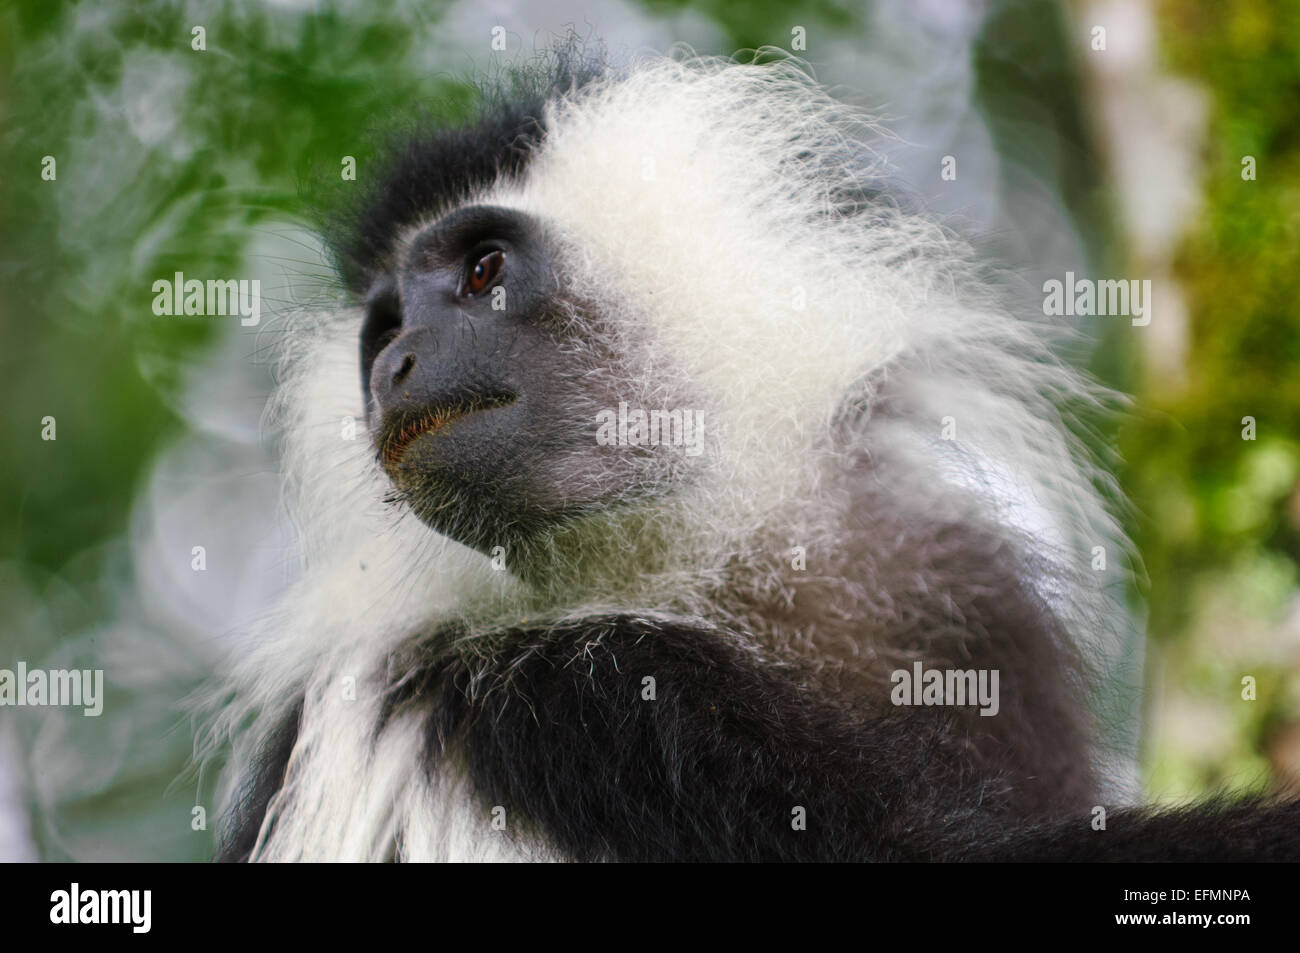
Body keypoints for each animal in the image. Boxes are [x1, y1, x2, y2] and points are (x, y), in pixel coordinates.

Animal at [210, 52, 1300, 862]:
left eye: (483, 271)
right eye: (385, 327)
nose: (393, 365)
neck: (708, 563)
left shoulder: (956, 594)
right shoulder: (567, 693)